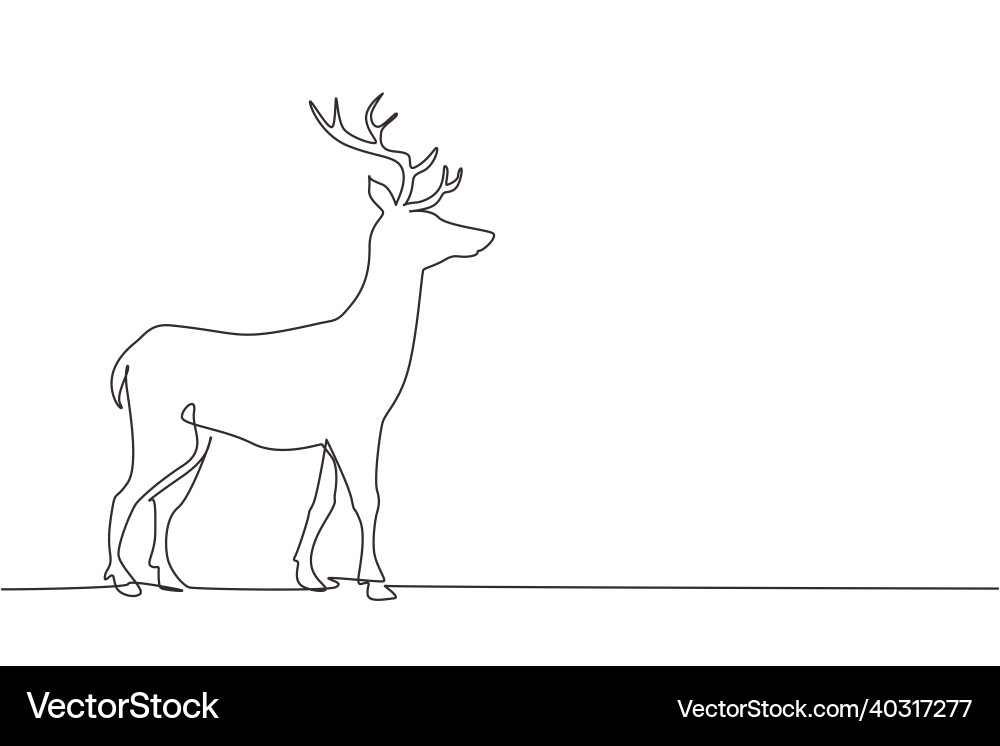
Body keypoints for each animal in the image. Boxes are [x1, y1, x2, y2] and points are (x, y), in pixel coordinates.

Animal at [104, 94, 495, 601]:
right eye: (426, 220)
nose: (485, 236)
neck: (373, 345)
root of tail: (126, 361)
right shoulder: (359, 425)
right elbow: (367, 498)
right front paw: (376, 581)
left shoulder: (329, 436)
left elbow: (323, 501)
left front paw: (313, 577)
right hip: (159, 424)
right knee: (127, 492)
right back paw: (123, 579)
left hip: (196, 438)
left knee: (164, 499)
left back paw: (171, 579)